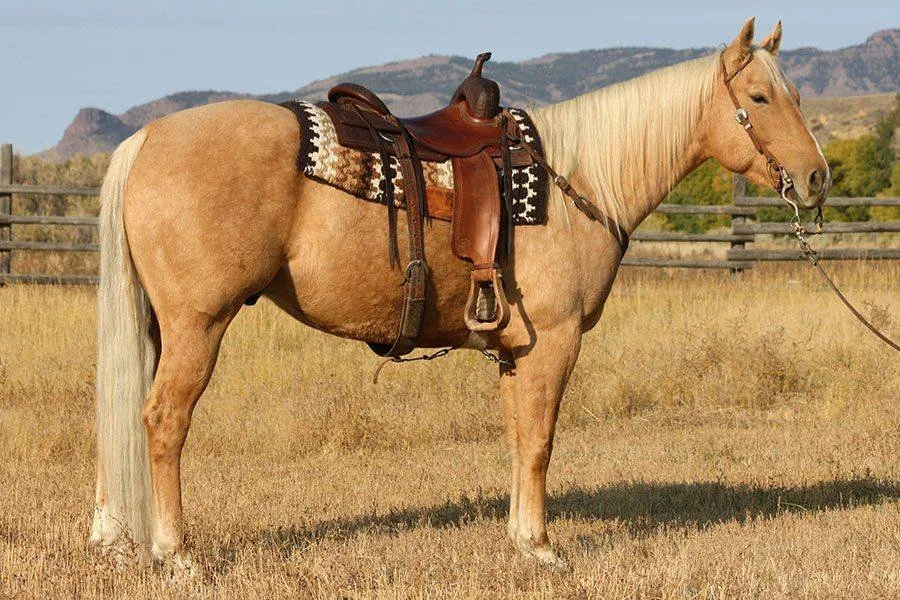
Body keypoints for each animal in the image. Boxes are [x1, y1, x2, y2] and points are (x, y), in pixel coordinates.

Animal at [88, 18, 829, 570]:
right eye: (760, 98)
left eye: (794, 94)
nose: (817, 177)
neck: (578, 177)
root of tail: (147, 138)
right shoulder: (554, 342)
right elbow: (540, 441)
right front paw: (542, 548)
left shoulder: (516, 350)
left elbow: (519, 438)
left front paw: (521, 538)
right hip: (198, 324)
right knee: (164, 421)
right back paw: (176, 554)